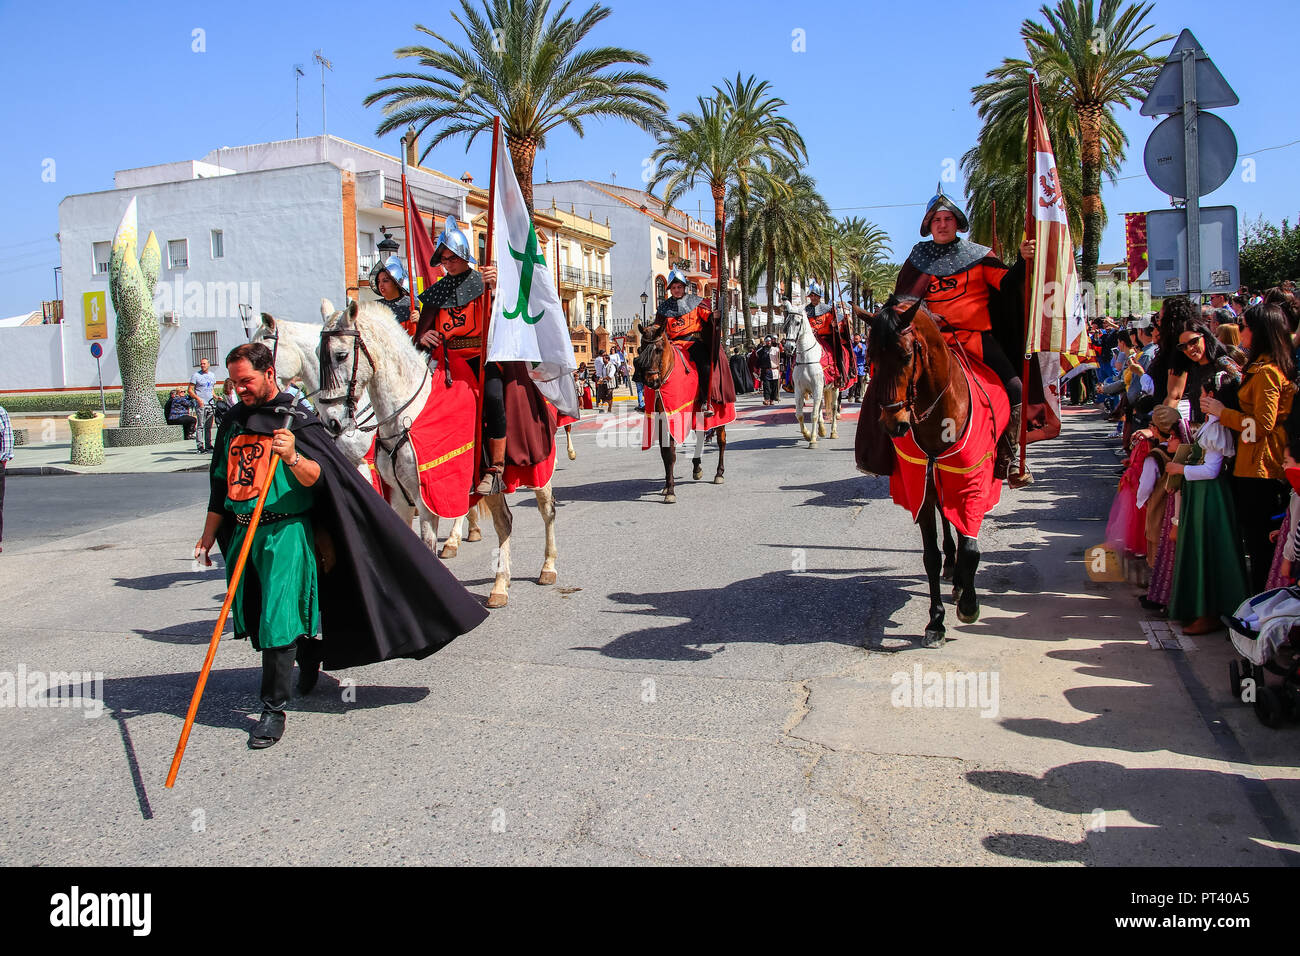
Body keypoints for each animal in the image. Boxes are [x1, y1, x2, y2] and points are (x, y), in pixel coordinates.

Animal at [315, 299, 559, 608]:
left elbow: (429, 547)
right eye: (317, 354)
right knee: (504, 523)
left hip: (540, 472)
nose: (331, 421)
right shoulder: (399, 498)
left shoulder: (430, 496)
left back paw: (547, 568)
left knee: (547, 512)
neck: (408, 413)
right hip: (491, 486)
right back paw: (500, 586)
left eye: (341, 355)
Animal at [631, 323, 728, 504]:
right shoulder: (662, 419)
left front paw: (670, 491)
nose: (650, 381)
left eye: (658, 349)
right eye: (640, 349)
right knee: (700, 437)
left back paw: (719, 473)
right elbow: (665, 453)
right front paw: (667, 486)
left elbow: (671, 455)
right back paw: (697, 467)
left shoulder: (673, 417)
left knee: (721, 441)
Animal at [774, 312, 837, 450]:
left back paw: (833, 432)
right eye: (786, 324)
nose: (789, 347)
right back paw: (822, 430)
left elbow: (813, 415)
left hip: (835, 387)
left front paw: (812, 440)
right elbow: (799, 414)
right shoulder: (800, 390)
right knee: (820, 406)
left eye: (798, 323)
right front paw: (807, 434)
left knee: (834, 407)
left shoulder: (817, 387)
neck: (806, 358)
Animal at [863, 295, 993, 647]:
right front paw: (935, 622)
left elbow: (971, 546)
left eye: (907, 355)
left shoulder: (969, 483)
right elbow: (930, 555)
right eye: (871, 357)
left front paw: (968, 604)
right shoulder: (923, 488)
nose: (893, 424)